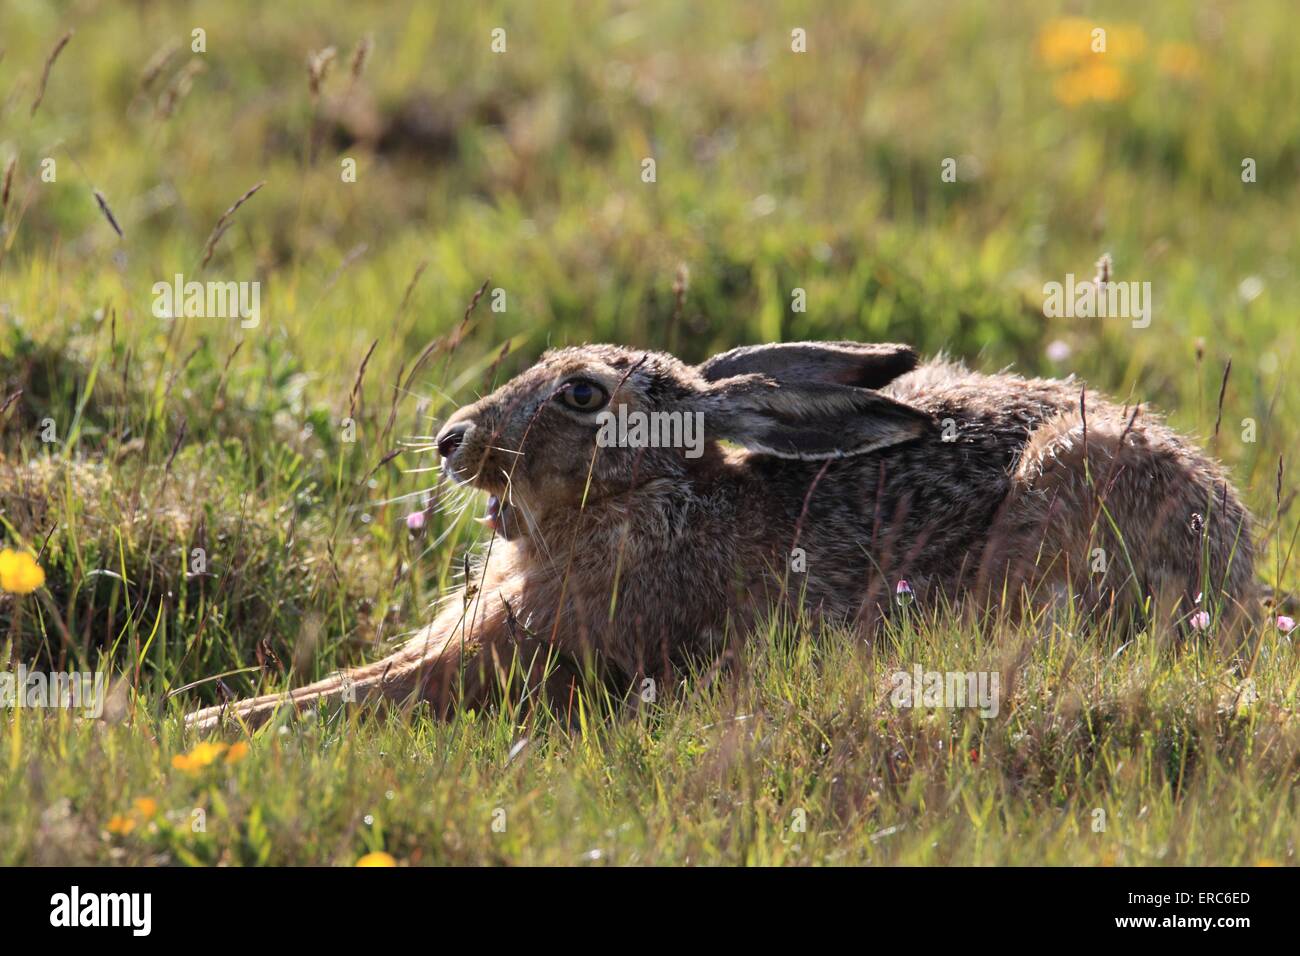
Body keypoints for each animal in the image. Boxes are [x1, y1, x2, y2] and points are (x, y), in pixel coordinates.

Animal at [185, 341, 1255, 733]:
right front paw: (199, 714)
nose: (453, 439)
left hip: (1066, 491)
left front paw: (194, 727)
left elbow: (372, 692)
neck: (650, 497)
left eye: (583, 397)